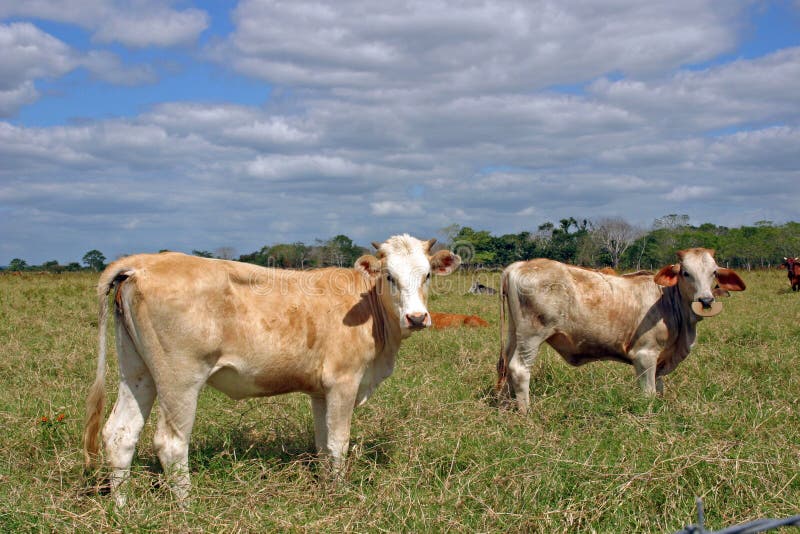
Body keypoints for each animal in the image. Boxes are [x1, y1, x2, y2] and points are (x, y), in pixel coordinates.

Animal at [83, 235, 460, 506]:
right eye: (389, 277)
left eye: (427, 274)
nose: (416, 317)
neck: (366, 306)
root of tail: (144, 262)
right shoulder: (344, 382)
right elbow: (339, 442)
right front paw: (341, 497)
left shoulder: (321, 391)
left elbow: (323, 444)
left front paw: (327, 489)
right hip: (179, 379)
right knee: (171, 444)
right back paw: (186, 509)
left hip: (138, 372)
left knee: (119, 434)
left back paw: (123, 507)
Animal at [495, 248, 745, 414]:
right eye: (686, 273)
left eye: (714, 272)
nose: (706, 300)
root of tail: (519, 266)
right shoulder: (645, 355)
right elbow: (649, 393)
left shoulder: (661, 361)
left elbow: (659, 387)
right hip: (532, 335)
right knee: (519, 369)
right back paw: (527, 412)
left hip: (515, 334)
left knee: (505, 366)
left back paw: (508, 405)